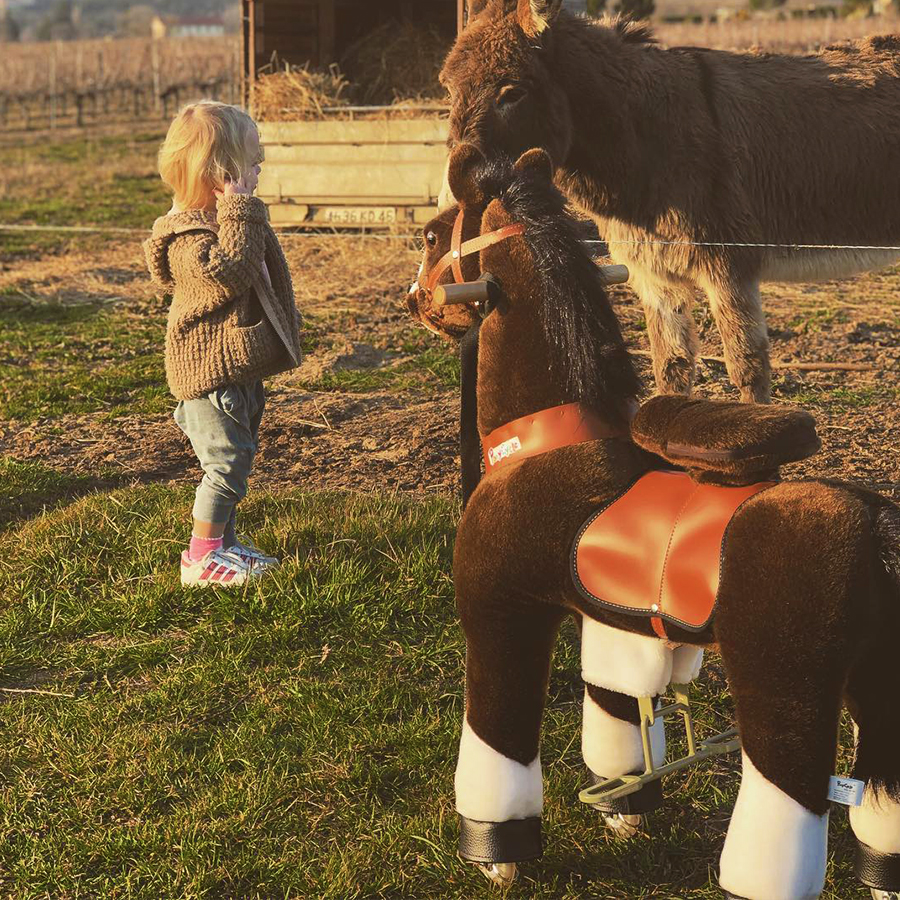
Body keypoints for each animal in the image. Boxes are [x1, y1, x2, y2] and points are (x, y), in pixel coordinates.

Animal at [406, 142, 900, 899]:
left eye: (435, 236)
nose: (415, 300)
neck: (545, 443)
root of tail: (875, 529)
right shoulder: (613, 622)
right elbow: (618, 718)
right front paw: (626, 811)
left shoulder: (500, 616)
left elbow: (498, 738)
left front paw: (497, 853)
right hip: (882, 685)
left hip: (787, 690)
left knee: (787, 806)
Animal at [437, 0, 900, 404]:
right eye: (447, 89)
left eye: (511, 93)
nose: (456, 185)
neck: (648, 137)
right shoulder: (653, 273)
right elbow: (671, 366)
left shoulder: (729, 266)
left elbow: (746, 366)